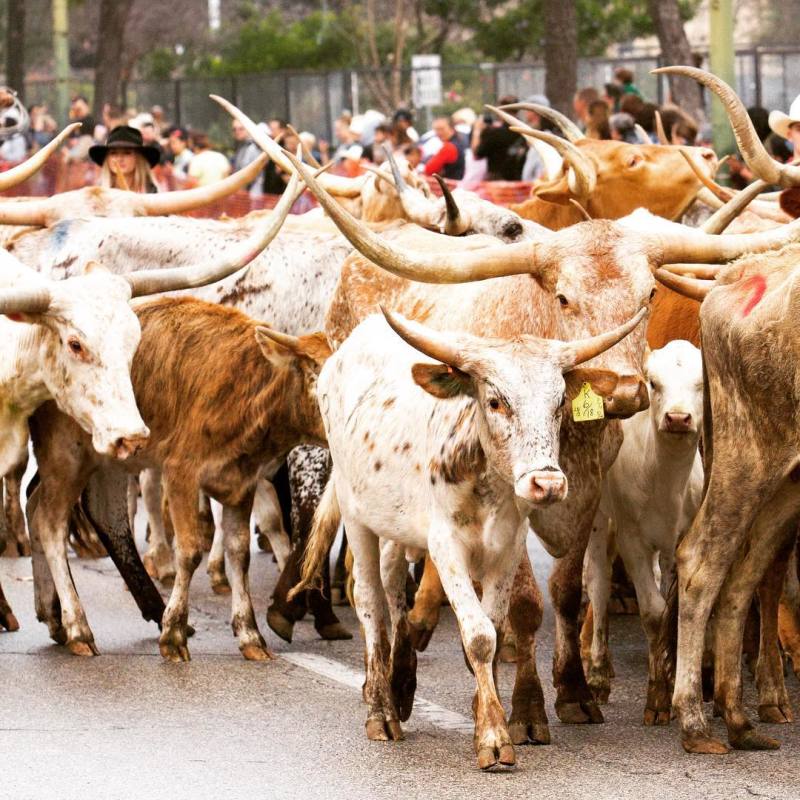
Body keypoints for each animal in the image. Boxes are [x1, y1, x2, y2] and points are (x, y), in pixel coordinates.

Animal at [297, 307, 645, 769]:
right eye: (496, 401)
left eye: (559, 405)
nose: (547, 484)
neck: (487, 484)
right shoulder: (447, 549)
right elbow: (479, 636)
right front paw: (494, 737)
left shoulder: (507, 548)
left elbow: (494, 630)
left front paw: (486, 716)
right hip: (357, 518)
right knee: (370, 601)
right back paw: (382, 711)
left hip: (395, 521)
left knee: (393, 583)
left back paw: (401, 682)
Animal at [582, 341, 704, 708]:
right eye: (654, 383)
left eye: (701, 383)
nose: (677, 418)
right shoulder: (632, 540)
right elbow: (652, 612)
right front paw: (656, 692)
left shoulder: (679, 542)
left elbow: (670, 613)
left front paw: (669, 677)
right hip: (600, 516)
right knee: (598, 580)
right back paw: (597, 673)